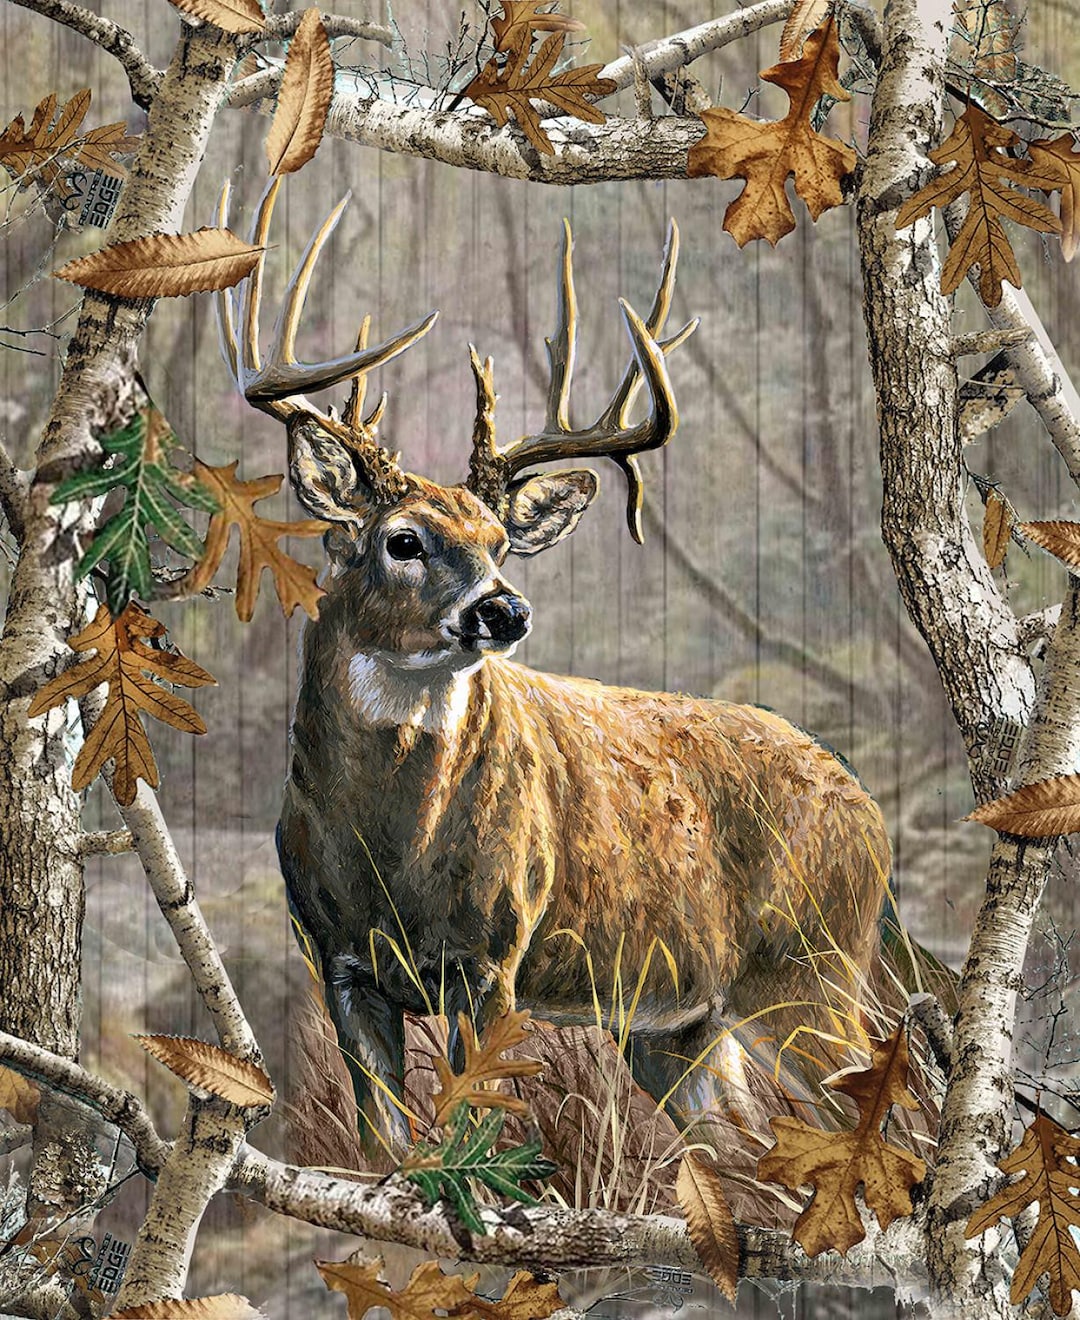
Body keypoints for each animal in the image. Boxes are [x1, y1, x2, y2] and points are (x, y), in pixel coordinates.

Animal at [217, 179, 892, 1154]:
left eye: (500, 543)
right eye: (402, 540)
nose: (505, 609)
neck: (390, 856)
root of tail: (870, 812)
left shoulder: (495, 956)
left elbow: (474, 1133)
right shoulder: (339, 966)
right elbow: (387, 1152)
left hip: (812, 967)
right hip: (683, 1024)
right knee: (741, 1146)